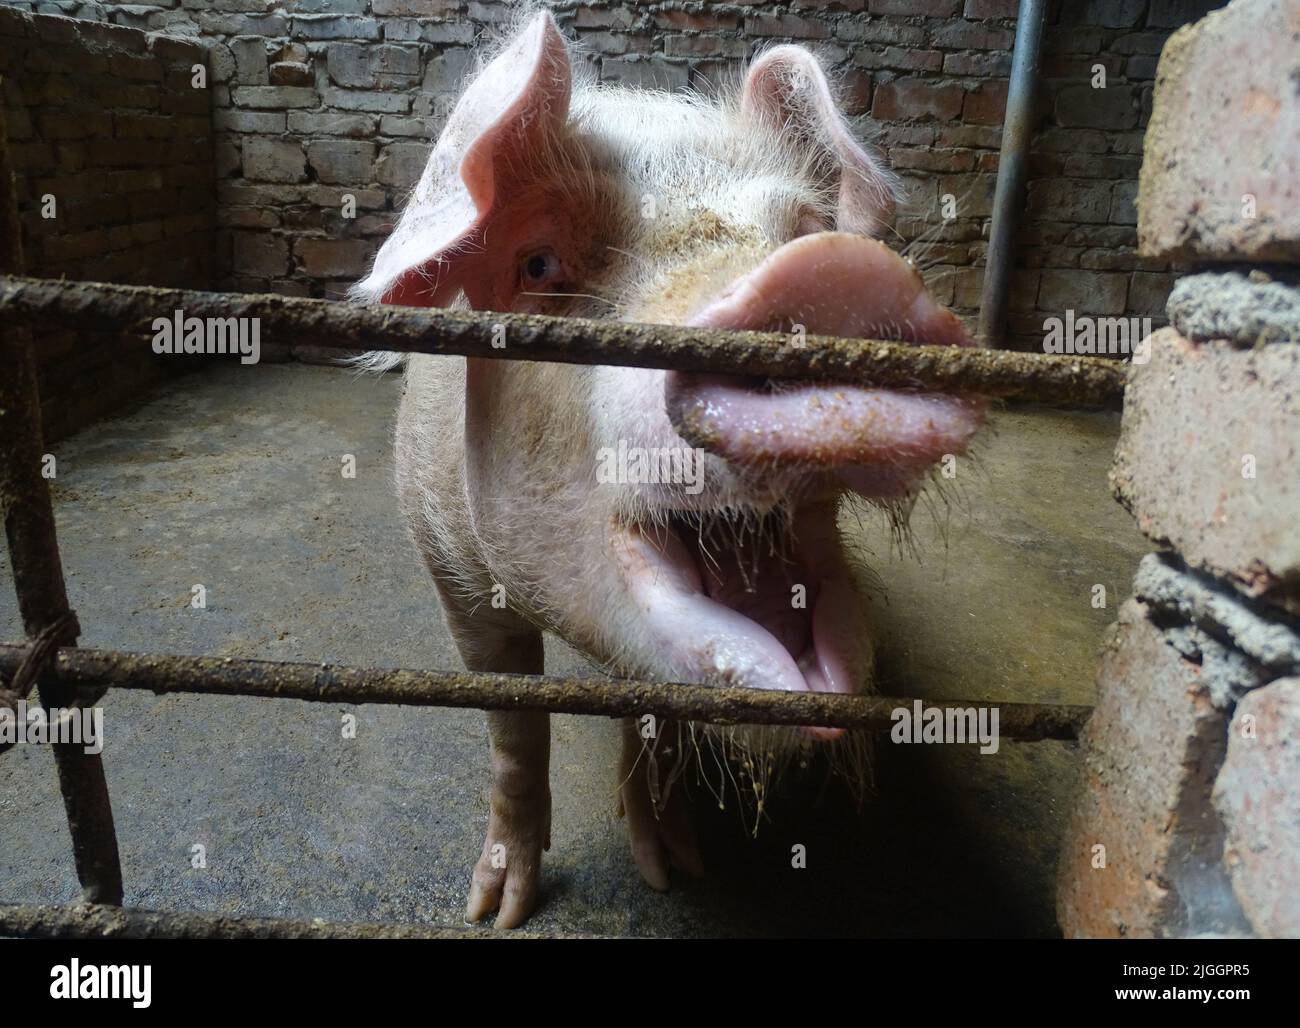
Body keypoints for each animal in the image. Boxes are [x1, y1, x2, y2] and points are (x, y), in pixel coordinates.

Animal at [353, 9, 983, 928]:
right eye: (538, 264)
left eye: (803, 230)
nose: (831, 272)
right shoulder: (448, 568)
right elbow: (513, 728)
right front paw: (497, 911)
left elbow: (646, 715)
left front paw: (671, 870)